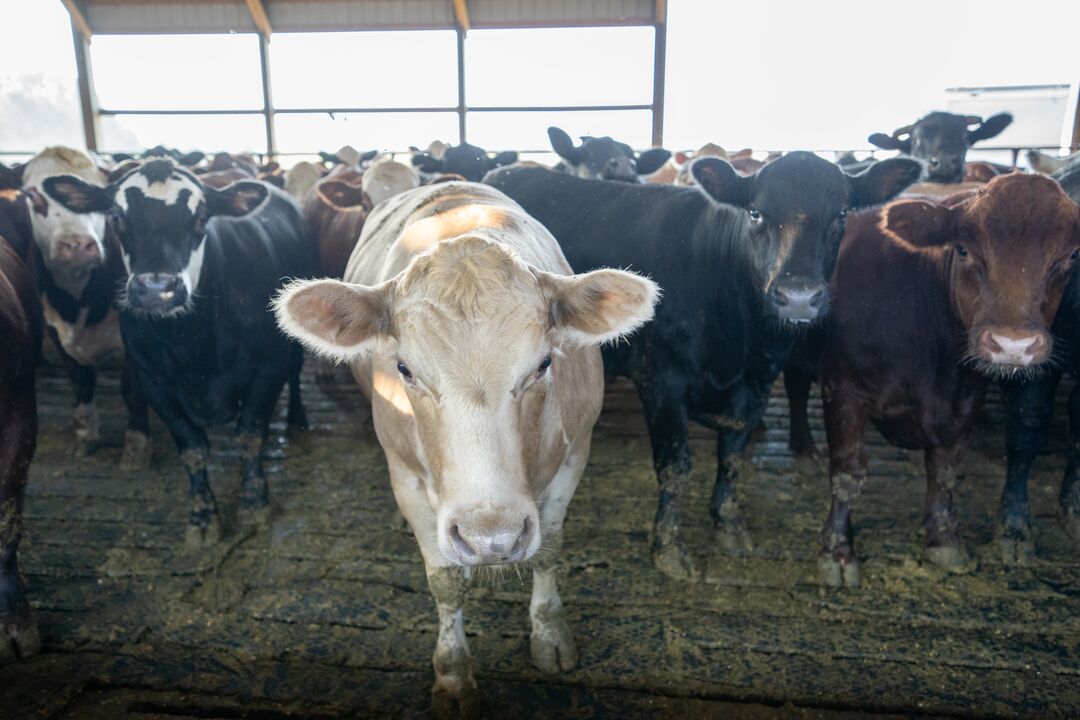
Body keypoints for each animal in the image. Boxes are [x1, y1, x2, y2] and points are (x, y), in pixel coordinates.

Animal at [21, 147, 150, 465]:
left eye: (105, 197)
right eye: (31, 195)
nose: (78, 245)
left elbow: (132, 388)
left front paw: (136, 447)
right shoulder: (55, 332)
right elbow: (80, 382)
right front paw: (86, 436)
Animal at [43, 160, 315, 547]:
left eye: (201, 217)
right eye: (116, 216)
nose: (157, 288)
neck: (192, 343)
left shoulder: (268, 366)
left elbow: (249, 436)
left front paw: (253, 504)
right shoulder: (153, 381)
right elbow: (192, 447)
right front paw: (202, 517)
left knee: (295, 370)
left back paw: (297, 423)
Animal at [272, 181, 658, 702]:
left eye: (544, 363)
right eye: (404, 369)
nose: (490, 539)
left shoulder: (575, 453)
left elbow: (549, 550)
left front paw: (550, 633)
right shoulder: (406, 477)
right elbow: (446, 581)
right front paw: (453, 673)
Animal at [486, 154, 921, 578]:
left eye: (842, 213)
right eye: (755, 212)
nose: (798, 296)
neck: (743, 347)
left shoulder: (755, 389)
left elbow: (732, 456)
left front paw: (728, 523)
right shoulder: (661, 382)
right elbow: (675, 466)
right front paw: (667, 546)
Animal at [817, 173, 1080, 587]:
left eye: (1070, 257)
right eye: (964, 250)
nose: (1013, 344)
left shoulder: (965, 398)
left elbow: (945, 471)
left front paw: (943, 539)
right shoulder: (842, 388)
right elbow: (848, 473)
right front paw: (837, 552)